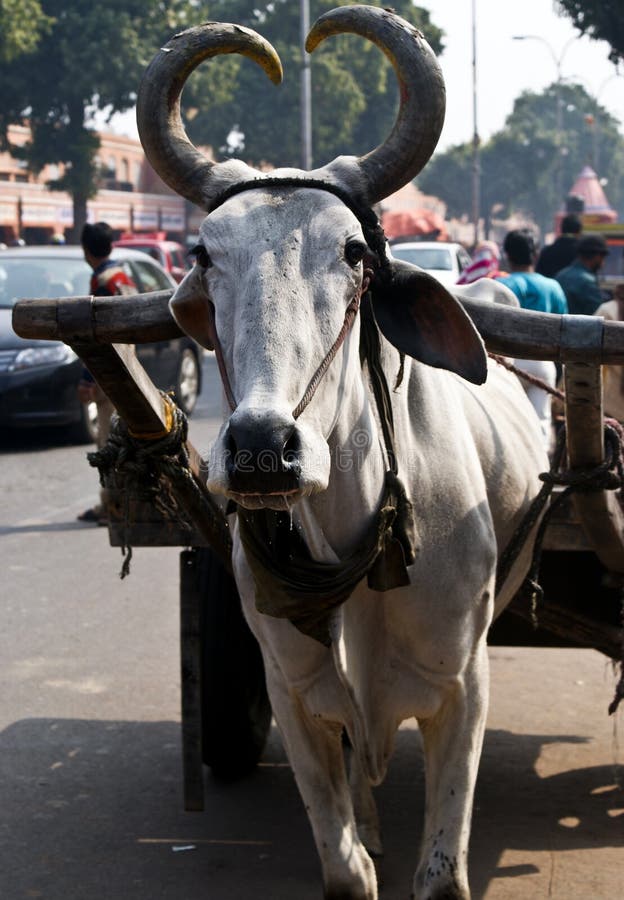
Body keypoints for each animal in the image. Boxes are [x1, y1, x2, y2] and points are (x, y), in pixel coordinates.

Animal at [137, 6, 547, 898]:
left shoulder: (463, 688)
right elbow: (344, 869)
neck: (356, 532)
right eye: (203, 253)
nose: (262, 448)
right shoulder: (294, 694)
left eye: (354, 251)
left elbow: (442, 874)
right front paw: (361, 849)